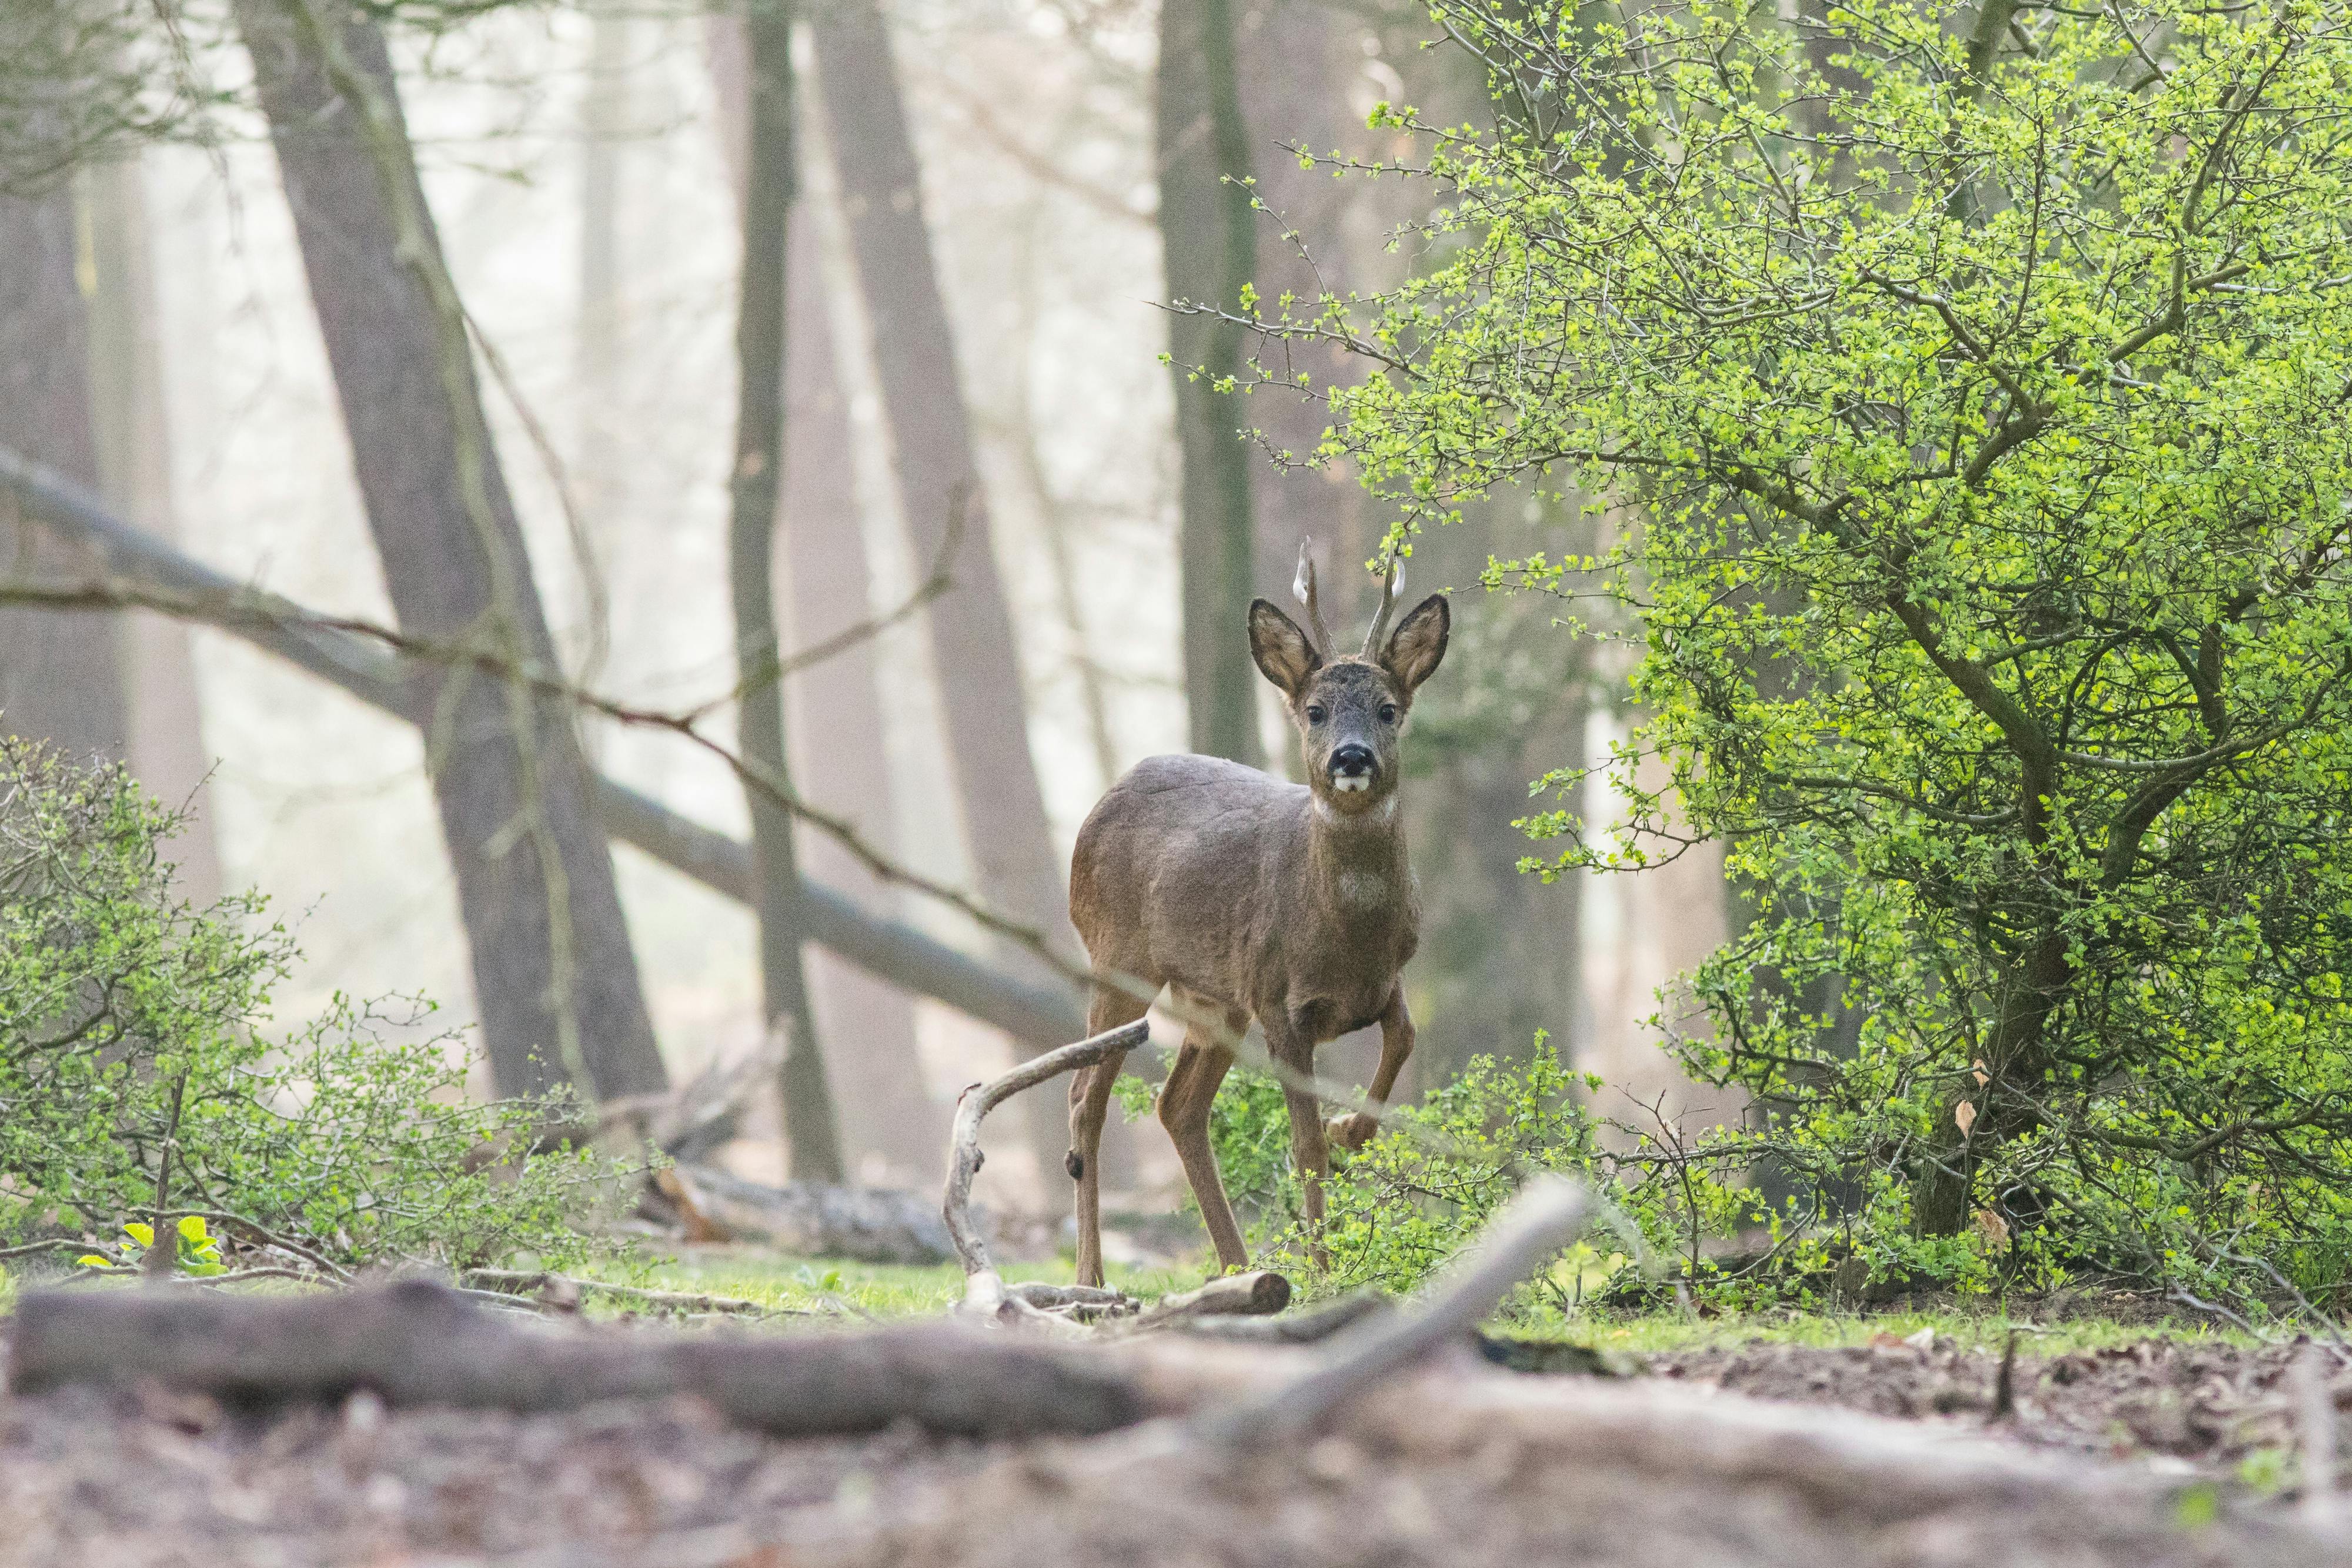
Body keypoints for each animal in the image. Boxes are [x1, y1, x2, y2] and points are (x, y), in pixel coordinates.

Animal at [1063, 541, 1450, 1286]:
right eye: (1316, 709)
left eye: (1388, 709)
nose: (1351, 757)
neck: (1348, 934)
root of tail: (1094, 811)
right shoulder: (1277, 997)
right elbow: (1302, 1146)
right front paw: (1327, 1270)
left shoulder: (1385, 981)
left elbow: (1405, 1042)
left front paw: (1350, 1131)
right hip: (1118, 958)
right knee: (1084, 1099)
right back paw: (1091, 1276)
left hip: (1214, 998)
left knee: (1177, 1106)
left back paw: (1238, 1265)